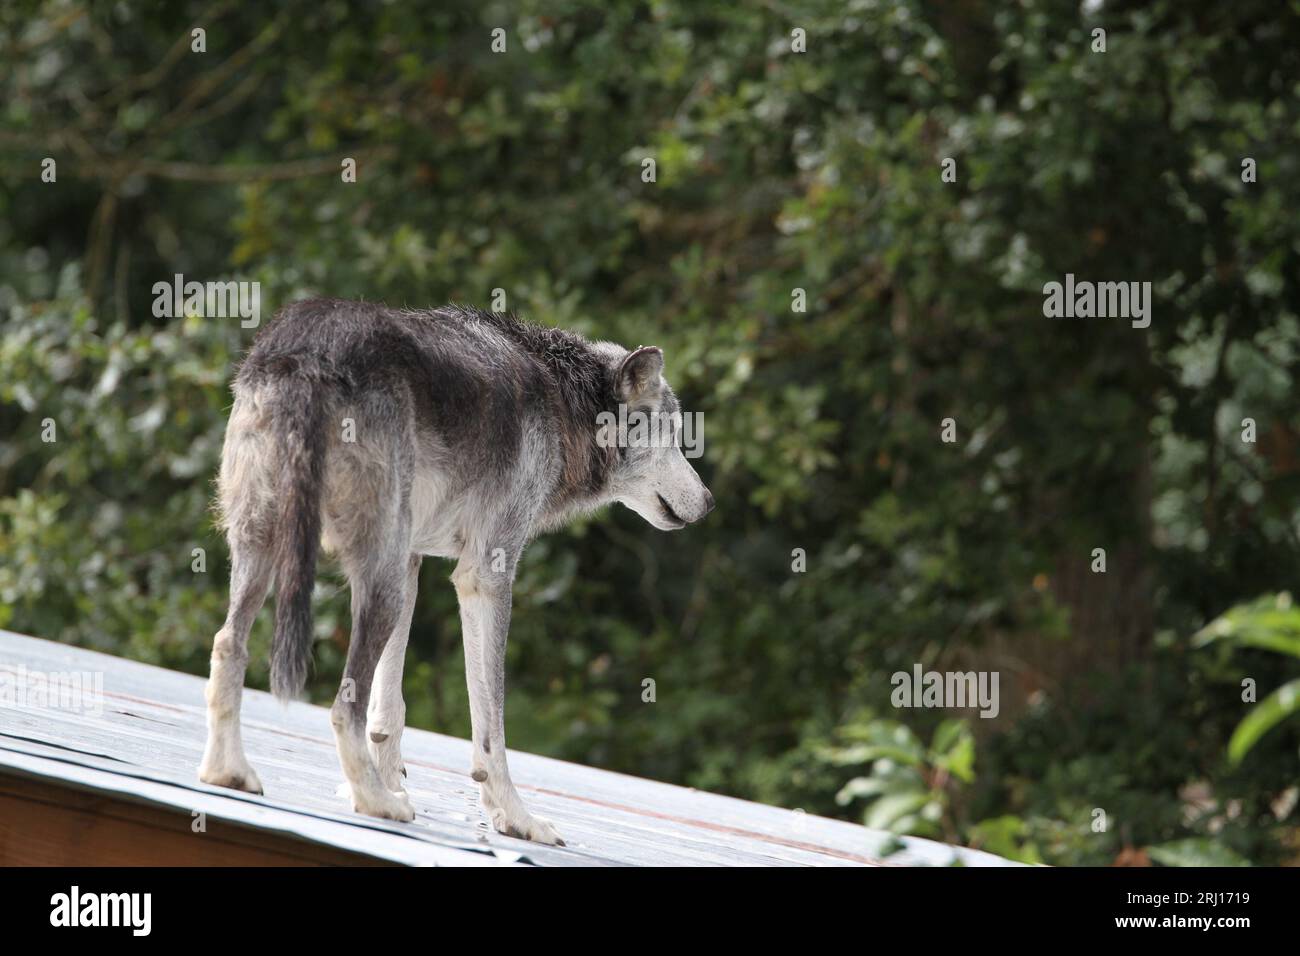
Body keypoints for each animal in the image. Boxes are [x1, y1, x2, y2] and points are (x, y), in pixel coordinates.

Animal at [198, 298, 713, 845]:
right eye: (675, 436)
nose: (709, 502)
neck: (563, 401)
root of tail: (311, 344)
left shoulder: (411, 562)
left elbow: (390, 708)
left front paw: (397, 783)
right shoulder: (486, 576)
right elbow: (492, 721)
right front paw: (515, 817)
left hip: (267, 548)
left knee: (228, 644)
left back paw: (228, 774)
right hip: (374, 581)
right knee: (342, 704)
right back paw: (376, 804)